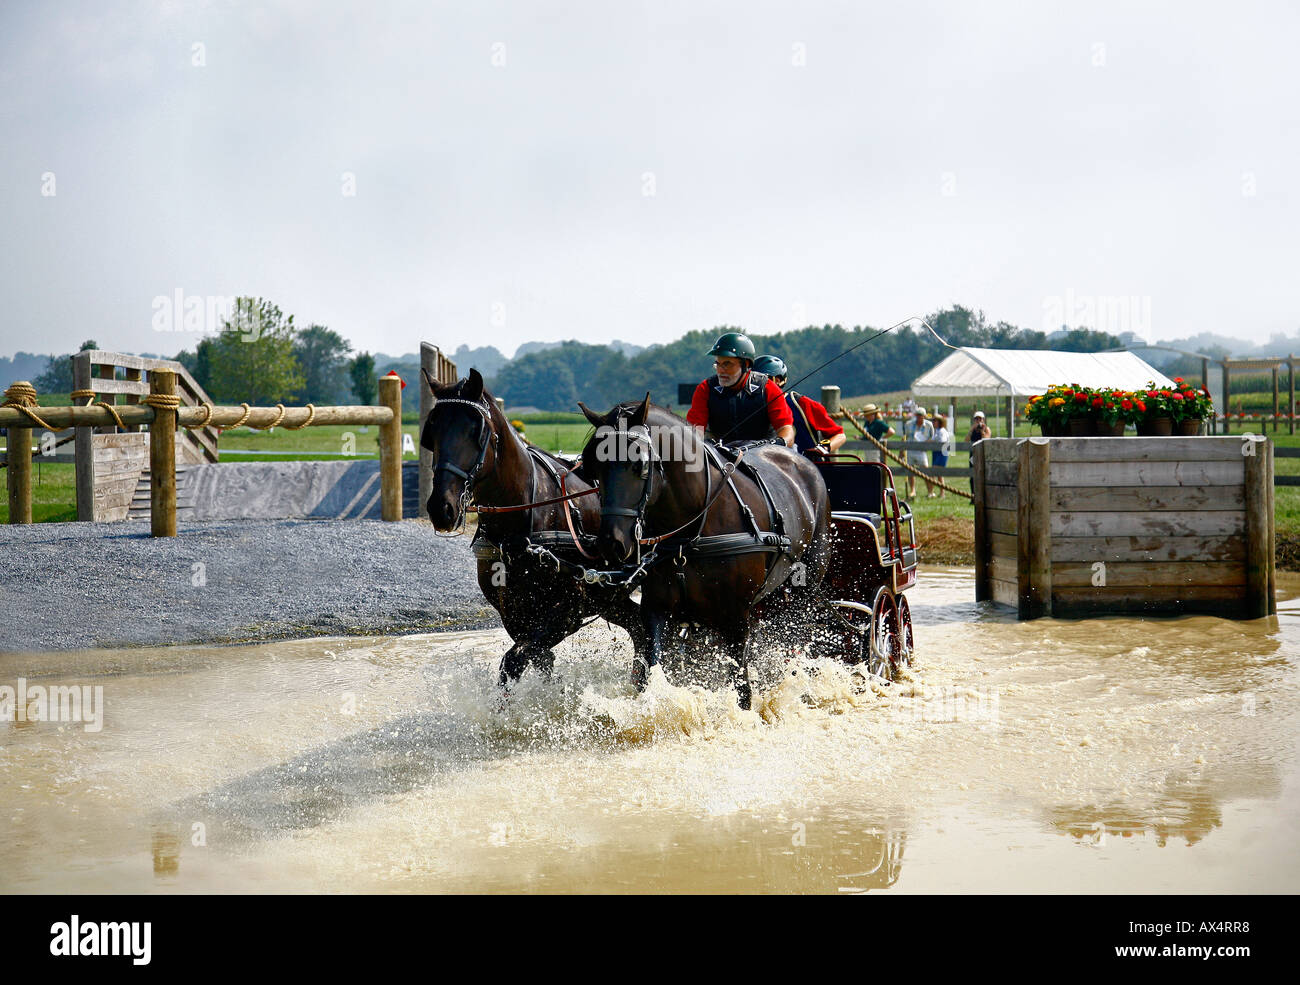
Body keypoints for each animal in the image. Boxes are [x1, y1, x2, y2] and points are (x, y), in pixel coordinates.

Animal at [422, 369, 648, 686]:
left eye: (476, 431)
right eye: (432, 431)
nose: (442, 507)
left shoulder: (569, 609)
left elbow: (514, 660)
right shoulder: (514, 614)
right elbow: (539, 659)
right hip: (610, 597)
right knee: (639, 627)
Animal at [577, 395, 831, 709]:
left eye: (640, 465)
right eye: (593, 467)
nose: (611, 543)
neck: (691, 532)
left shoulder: (736, 617)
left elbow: (742, 689)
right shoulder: (656, 609)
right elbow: (654, 670)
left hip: (803, 590)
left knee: (793, 639)